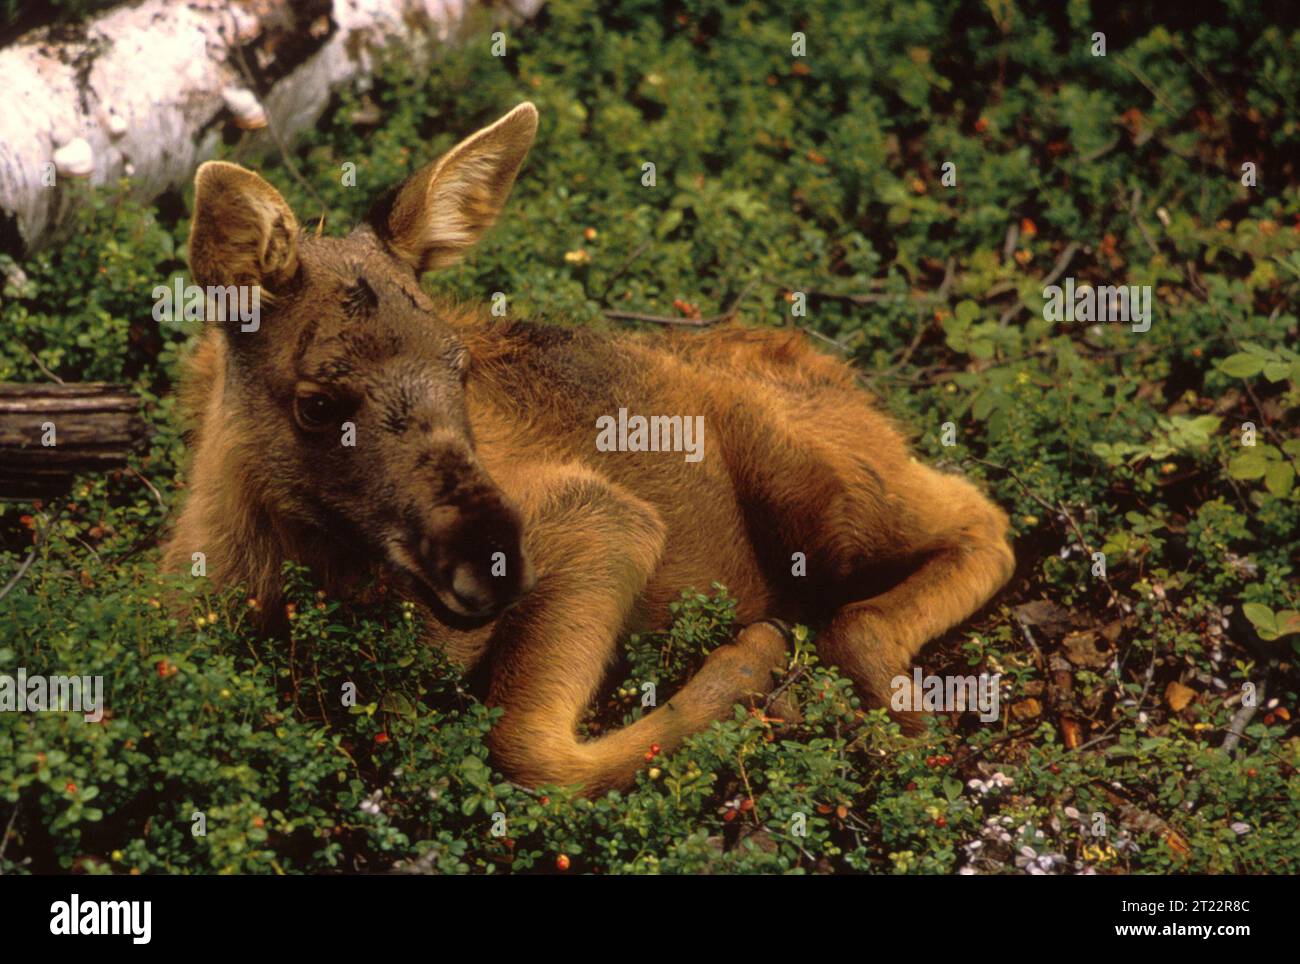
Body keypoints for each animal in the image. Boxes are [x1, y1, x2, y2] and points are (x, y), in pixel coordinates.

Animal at [163, 102, 1015, 795]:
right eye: (315, 402)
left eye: (459, 367)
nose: (492, 558)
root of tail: (842, 378)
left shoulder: (601, 518)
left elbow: (527, 747)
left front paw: (747, 664)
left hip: (826, 496)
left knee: (973, 526)